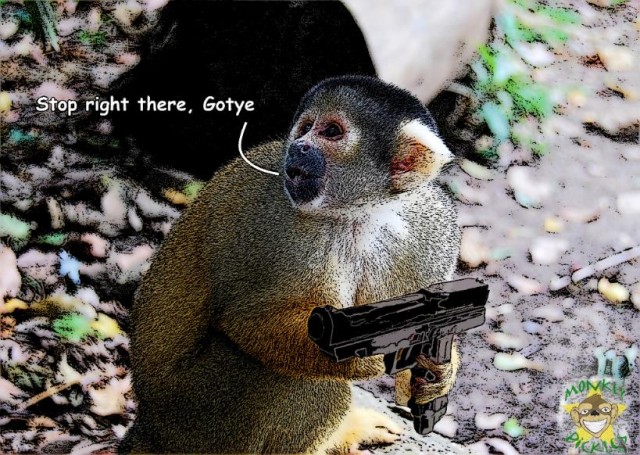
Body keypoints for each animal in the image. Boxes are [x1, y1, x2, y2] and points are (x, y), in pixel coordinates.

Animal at [121, 75, 461, 454]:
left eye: (331, 131)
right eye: (305, 127)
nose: (298, 146)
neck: (357, 213)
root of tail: (148, 424)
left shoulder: (433, 227)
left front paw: (436, 371)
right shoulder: (268, 221)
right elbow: (251, 322)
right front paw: (381, 349)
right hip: (195, 423)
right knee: (304, 380)